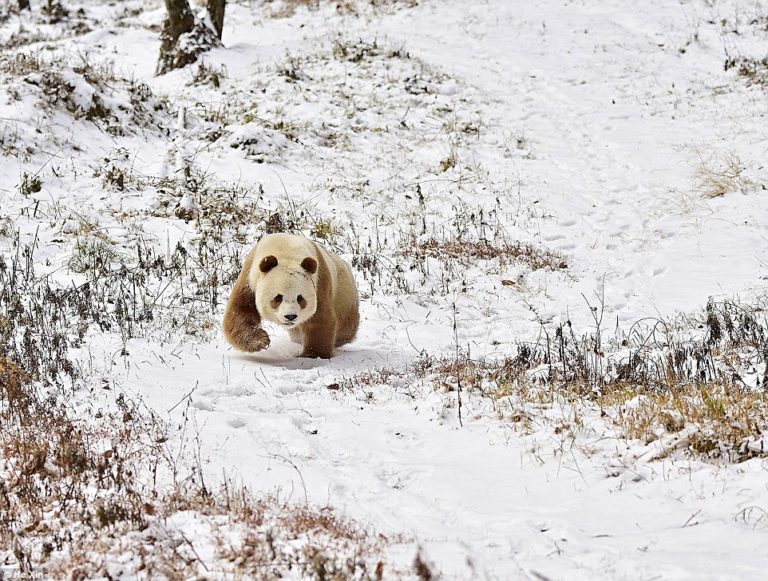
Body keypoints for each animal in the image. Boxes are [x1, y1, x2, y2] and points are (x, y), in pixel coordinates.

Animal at [223, 233, 359, 359]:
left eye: (300, 298)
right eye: (278, 297)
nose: (290, 316)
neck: (285, 250)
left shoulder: (319, 282)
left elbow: (319, 318)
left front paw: (313, 354)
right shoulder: (250, 278)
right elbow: (240, 311)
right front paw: (260, 341)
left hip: (343, 295)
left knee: (345, 328)